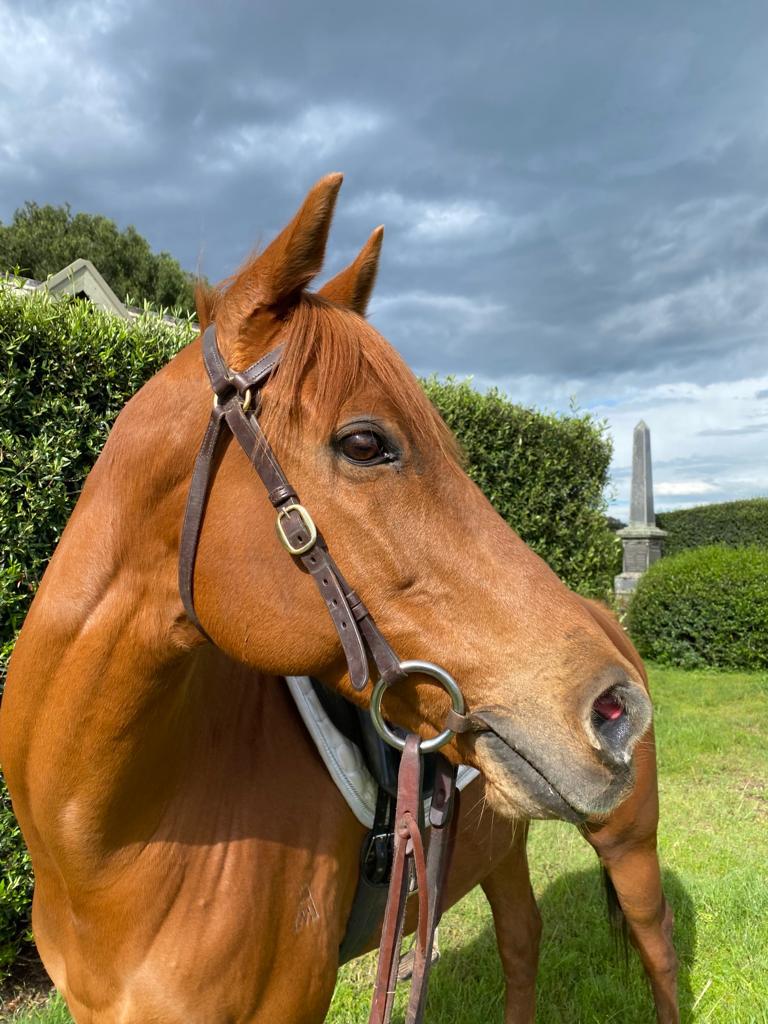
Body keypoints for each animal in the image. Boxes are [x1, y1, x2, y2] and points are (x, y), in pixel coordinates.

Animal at [0, 174, 678, 1023]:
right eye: (364, 443)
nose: (613, 708)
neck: (110, 842)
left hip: (630, 845)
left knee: (658, 954)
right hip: (502, 846)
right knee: (523, 939)